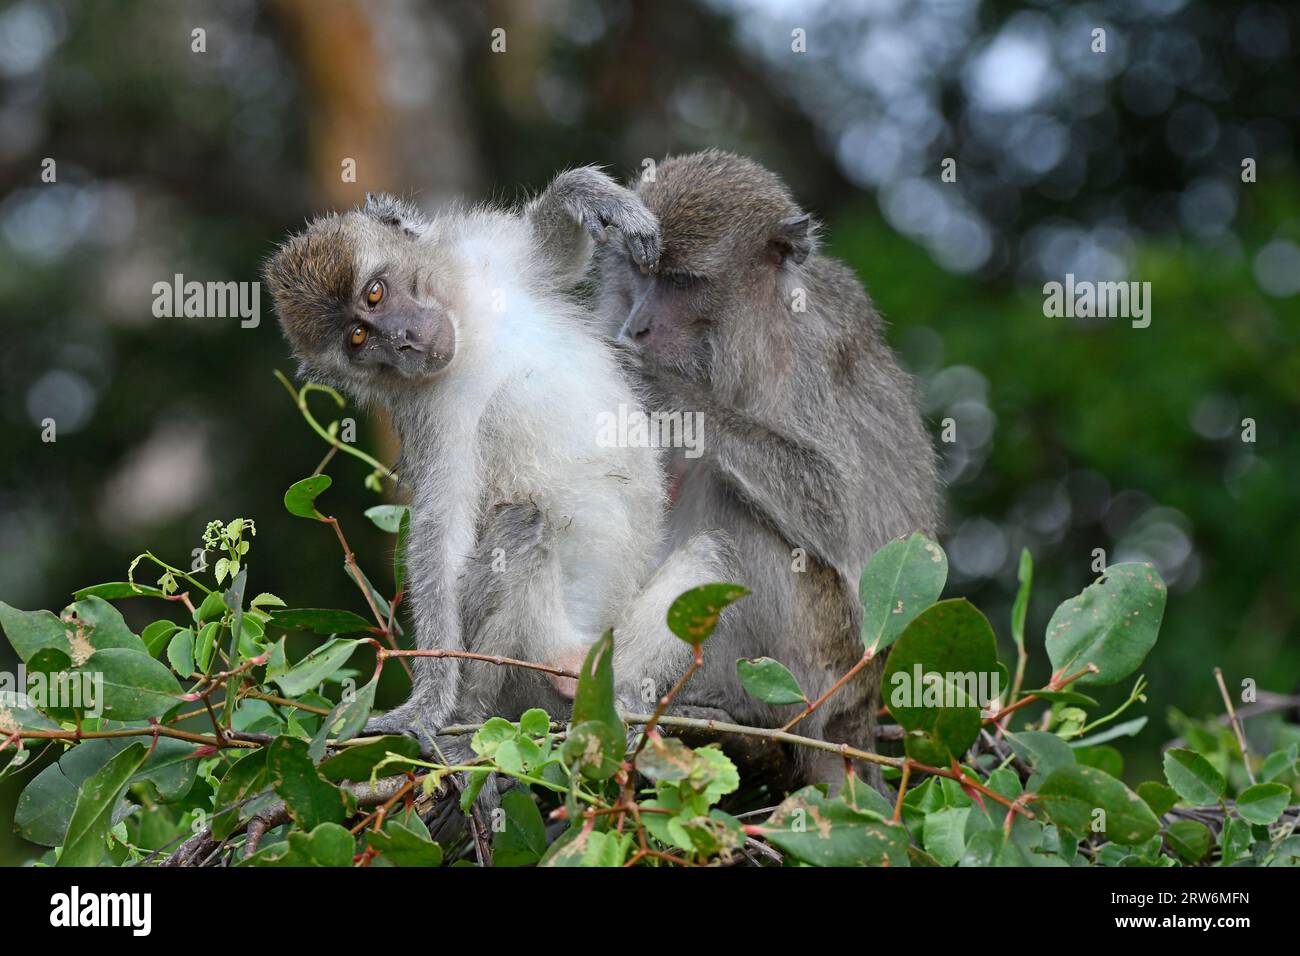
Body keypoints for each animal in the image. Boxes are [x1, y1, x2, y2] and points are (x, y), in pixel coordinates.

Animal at [264, 169, 730, 771]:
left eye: (375, 293)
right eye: (359, 339)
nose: (404, 340)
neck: (468, 330)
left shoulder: (487, 253)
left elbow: (556, 258)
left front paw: (590, 198)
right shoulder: (432, 414)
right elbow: (444, 536)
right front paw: (428, 701)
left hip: (617, 649)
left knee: (710, 558)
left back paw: (633, 706)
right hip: (531, 674)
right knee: (523, 526)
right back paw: (474, 725)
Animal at [594, 150, 942, 791]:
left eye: (682, 282)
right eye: (640, 272)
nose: (637, 326)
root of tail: (857, 717)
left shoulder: (806, 353)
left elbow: (833, 501)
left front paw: (665, 390)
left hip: (819, 666)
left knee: (742, 523)